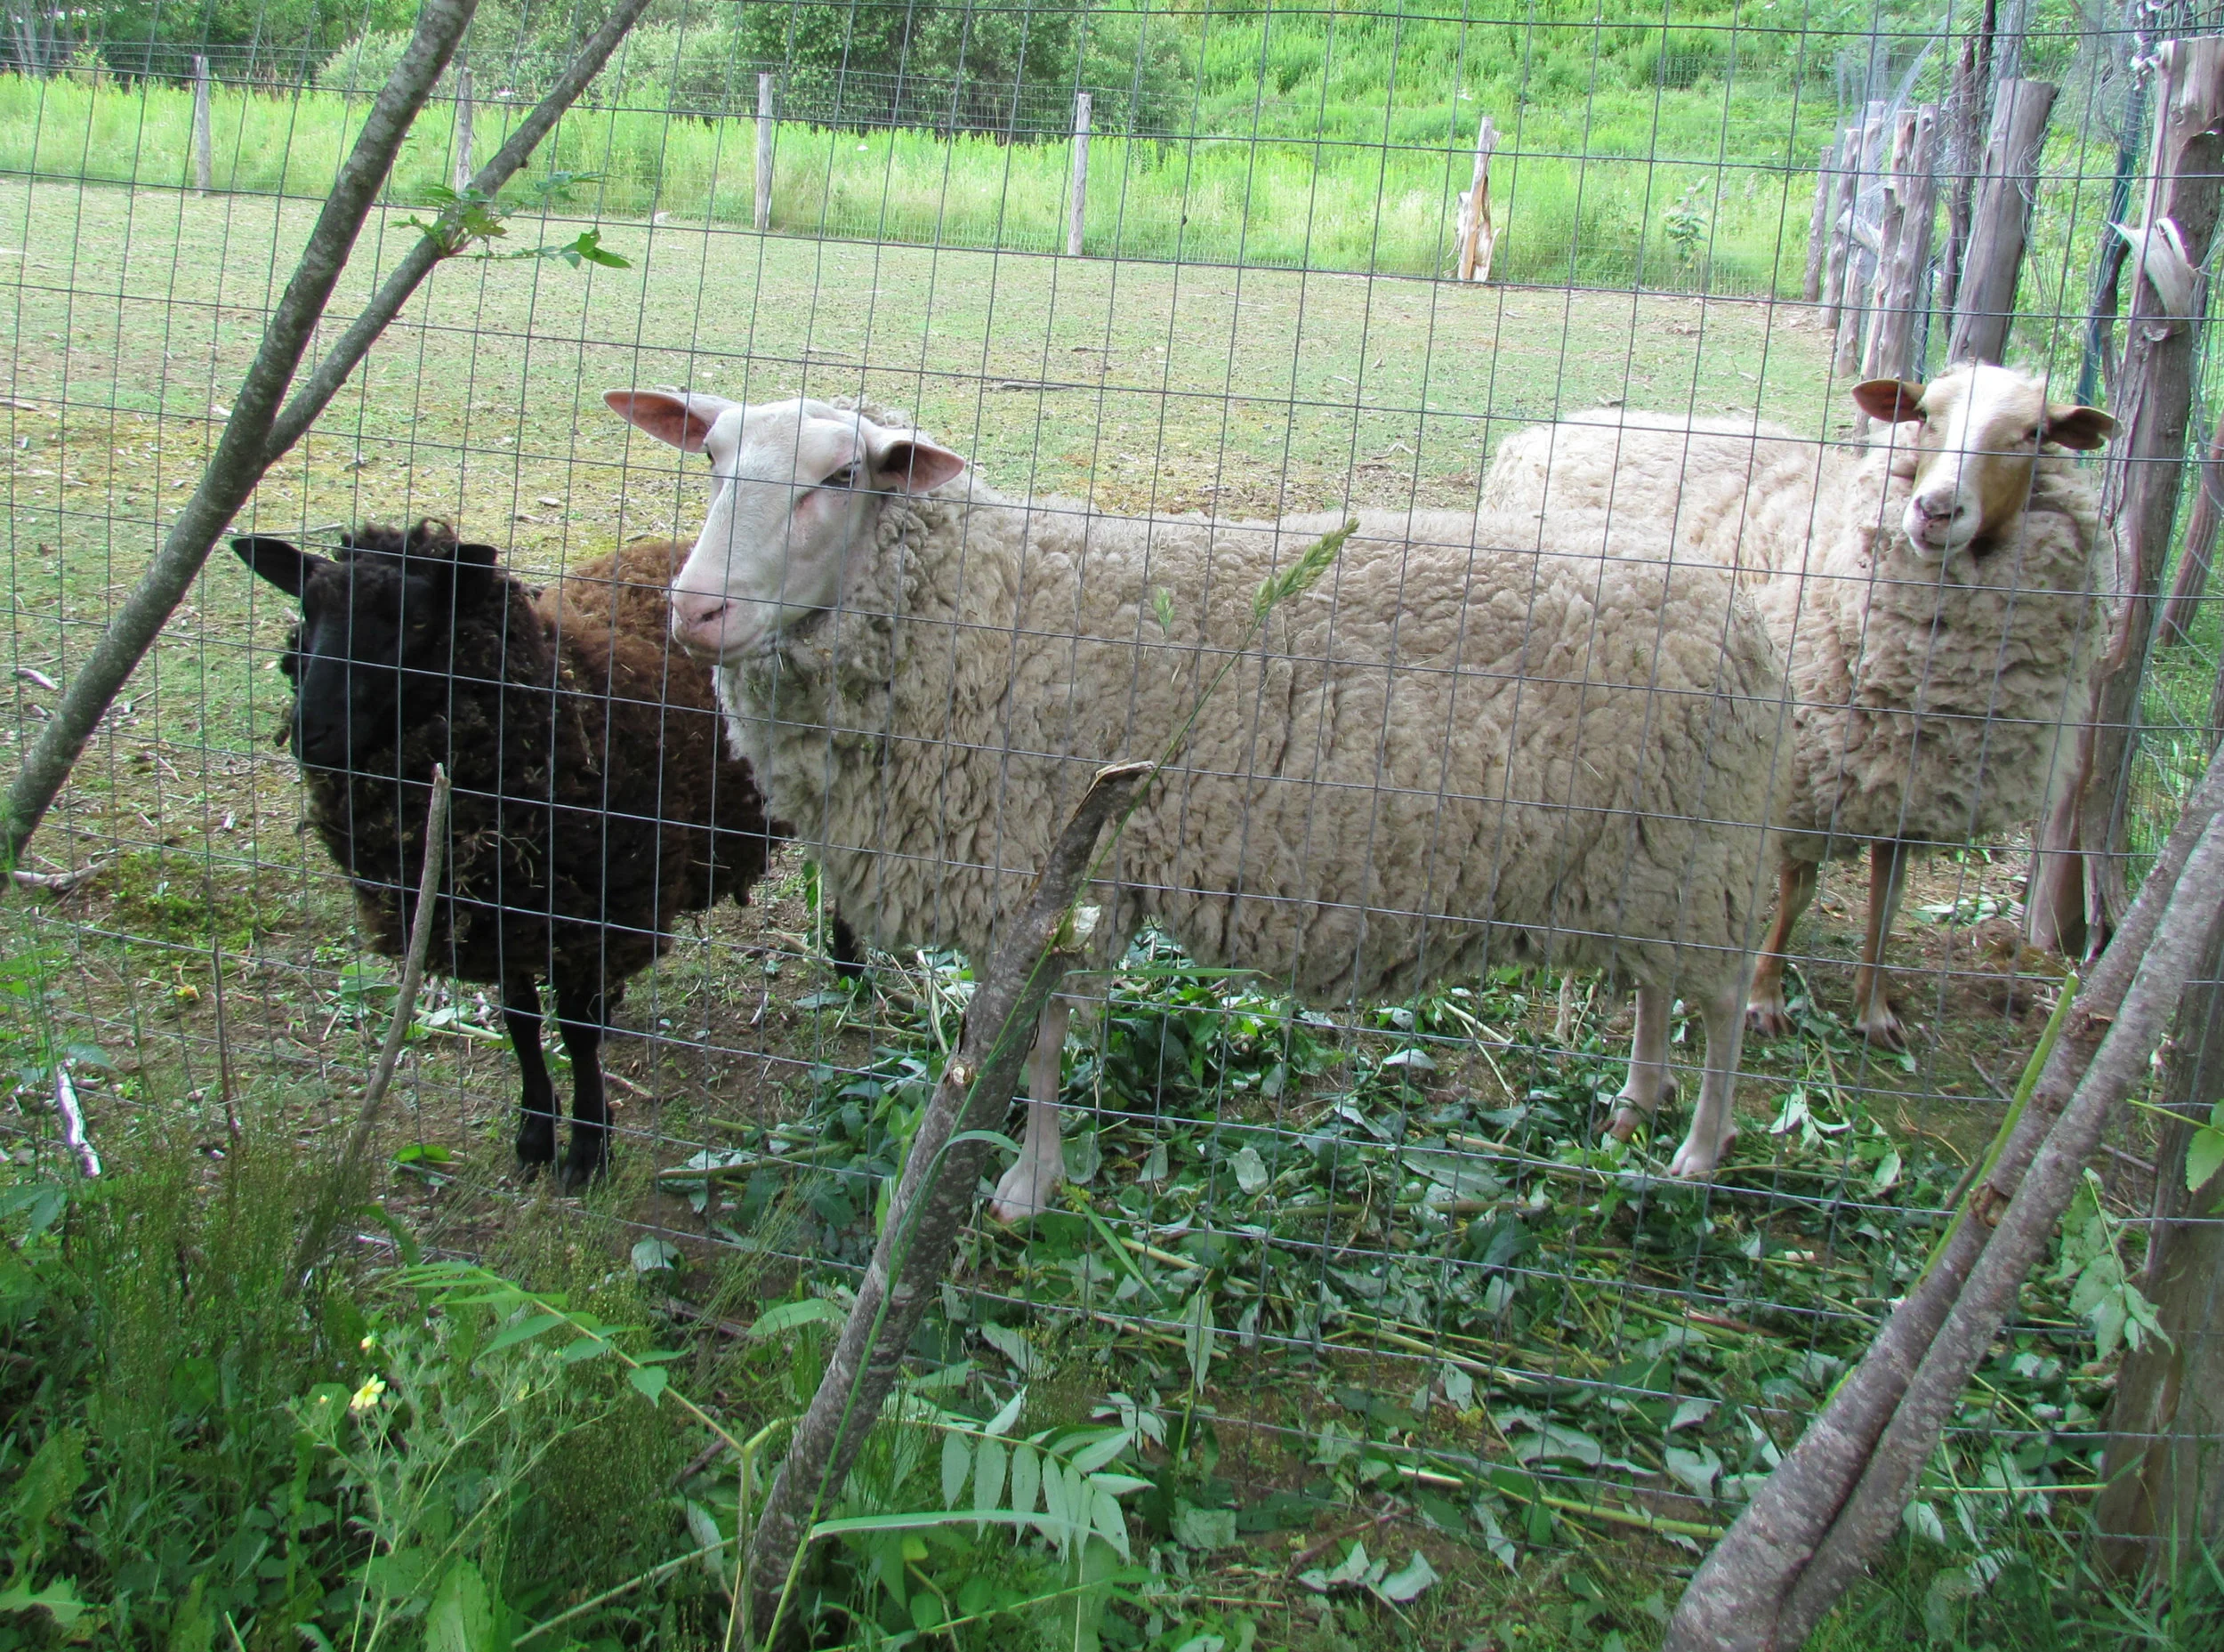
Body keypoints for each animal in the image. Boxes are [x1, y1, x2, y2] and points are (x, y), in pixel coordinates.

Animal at [235, 522, 835, 1186]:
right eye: (308, 610)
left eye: (413, 621)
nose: (308, 731)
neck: (561, 697)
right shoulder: (498, 920)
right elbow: (521, 1022)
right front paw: (534, 1132)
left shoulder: (595, 914)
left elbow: (574, 1031)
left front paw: (589, 1146)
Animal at [606, 389, 1786, 1218]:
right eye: (710, 459)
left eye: (843, 475)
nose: (695, 609)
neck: (980, 603)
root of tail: (1740, 615)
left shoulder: (1044, 876)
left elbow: (1031, 1049)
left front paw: (1022, 1188)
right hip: (1647, 857)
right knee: (1659, 987)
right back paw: (1636, 1104)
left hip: (1704, 848)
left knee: (1724, 999)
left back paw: (1697, 1151)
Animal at [1478, 363, 2116, 1048]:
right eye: (1924, 416)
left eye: (2034, 434)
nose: (1936, 510)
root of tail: (1554, 428)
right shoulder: (1805, 767)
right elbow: (1799, 893)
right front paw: (1766, 996)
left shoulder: (1909, 793)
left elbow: (1888, 900)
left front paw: (1874, 1007)